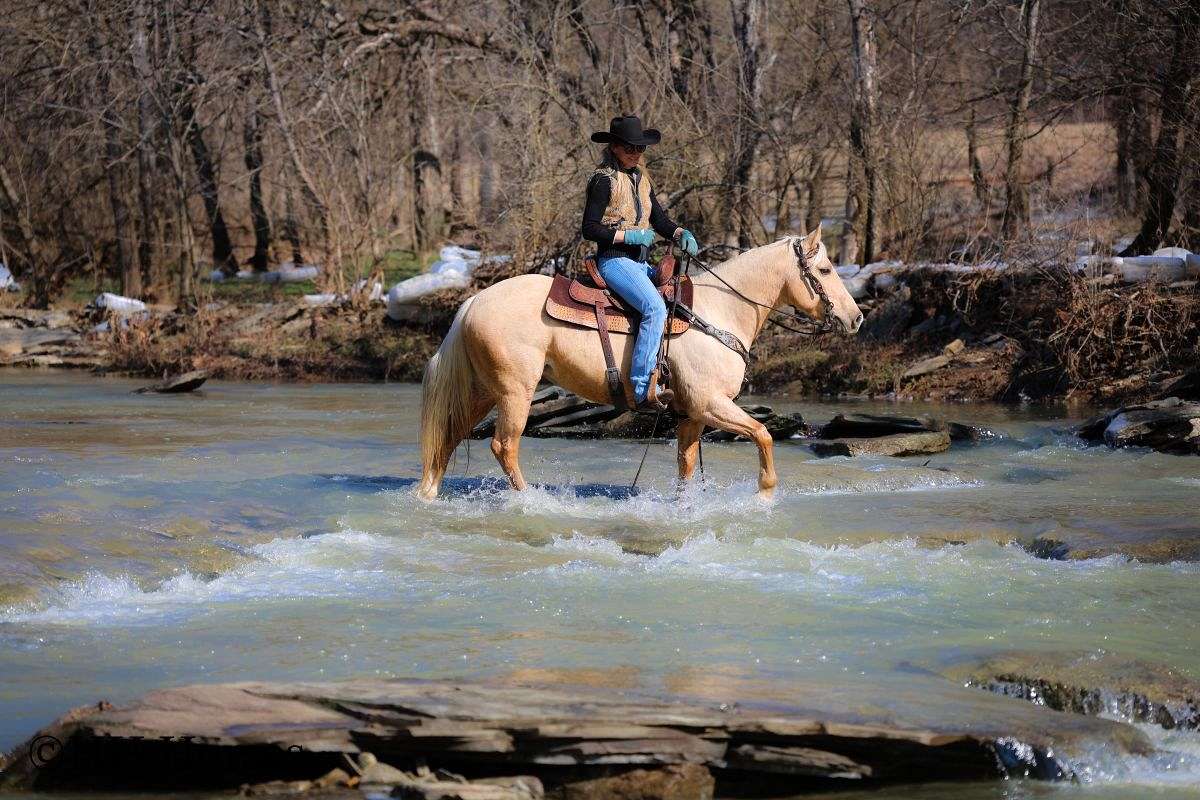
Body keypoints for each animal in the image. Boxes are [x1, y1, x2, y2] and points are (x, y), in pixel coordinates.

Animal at [417, 225, 863, 500]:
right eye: (825, 269)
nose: (856, 318)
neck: (719, 312)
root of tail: (473, 301)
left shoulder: (691, 414)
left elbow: (686, 465)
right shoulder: (710, 403)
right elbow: (764, 434)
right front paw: (765, 493)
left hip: (482, 392)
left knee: (449, 436)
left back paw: (428, 494)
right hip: (515, 392)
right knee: (504, 446)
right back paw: (529, 501)